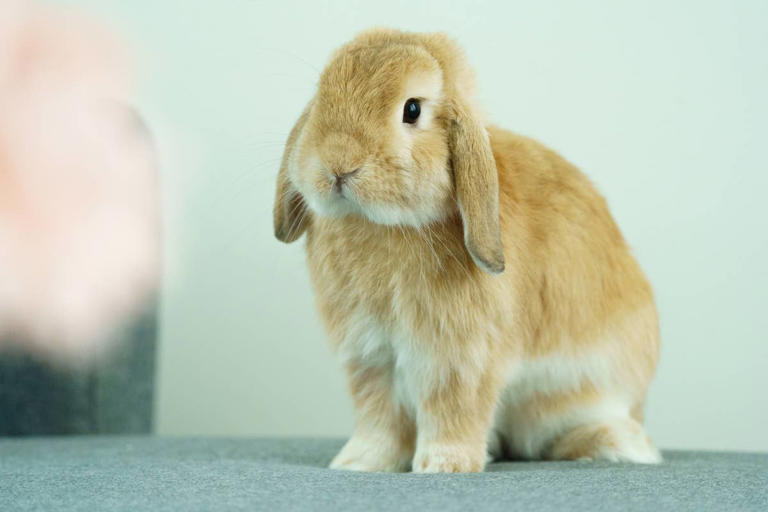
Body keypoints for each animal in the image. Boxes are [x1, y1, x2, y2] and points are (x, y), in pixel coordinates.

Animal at [273, 28, 661, 473]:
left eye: (411, 109)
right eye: (321, 94)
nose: (338, 165)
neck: (386, 225)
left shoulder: (459, 358)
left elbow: (453, 408)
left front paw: (443, 465)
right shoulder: (371, 356)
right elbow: (379, 416)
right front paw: (360, 462)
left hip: (569, 397)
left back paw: (615, 443)